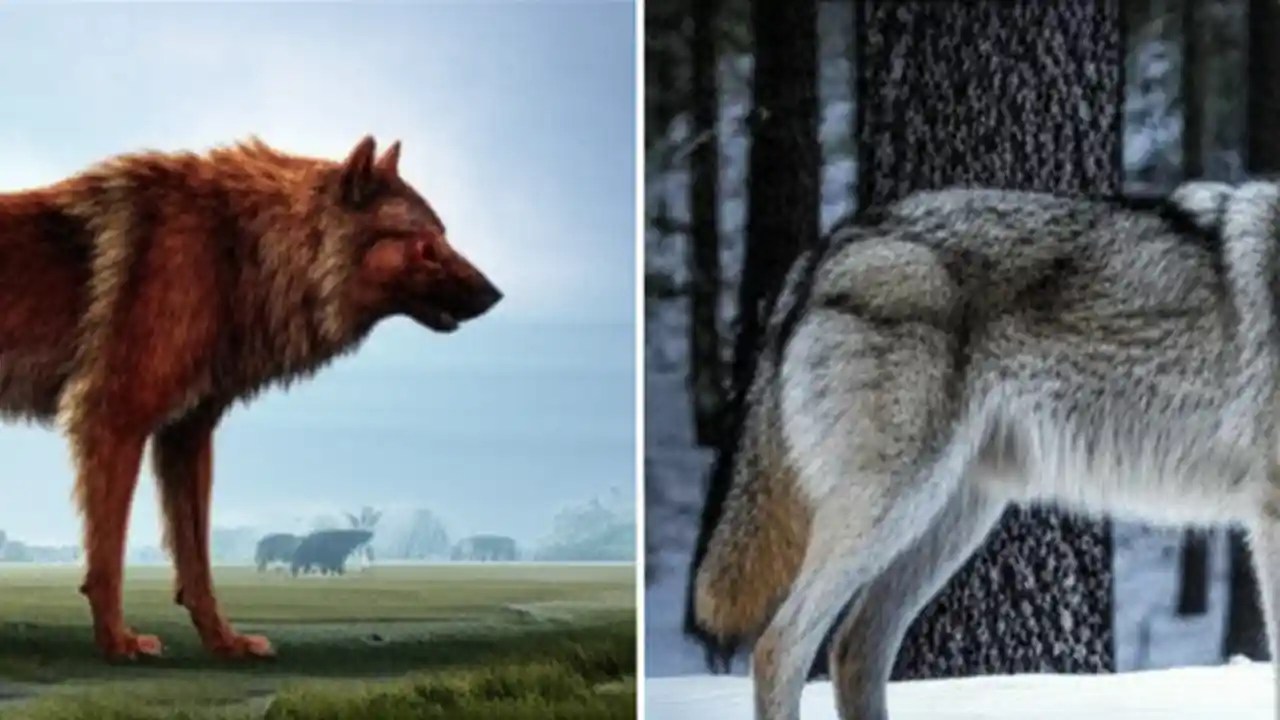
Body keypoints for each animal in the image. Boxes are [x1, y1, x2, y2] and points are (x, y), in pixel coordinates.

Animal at [0, 136, 502, 660]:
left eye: (444, 235)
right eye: (426, 243)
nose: (496, 294)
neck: (237, 249)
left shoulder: (187, 434)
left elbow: (196, 560)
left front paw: (223, 641)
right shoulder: (112, 420)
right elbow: (108, 555)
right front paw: (118, 642)